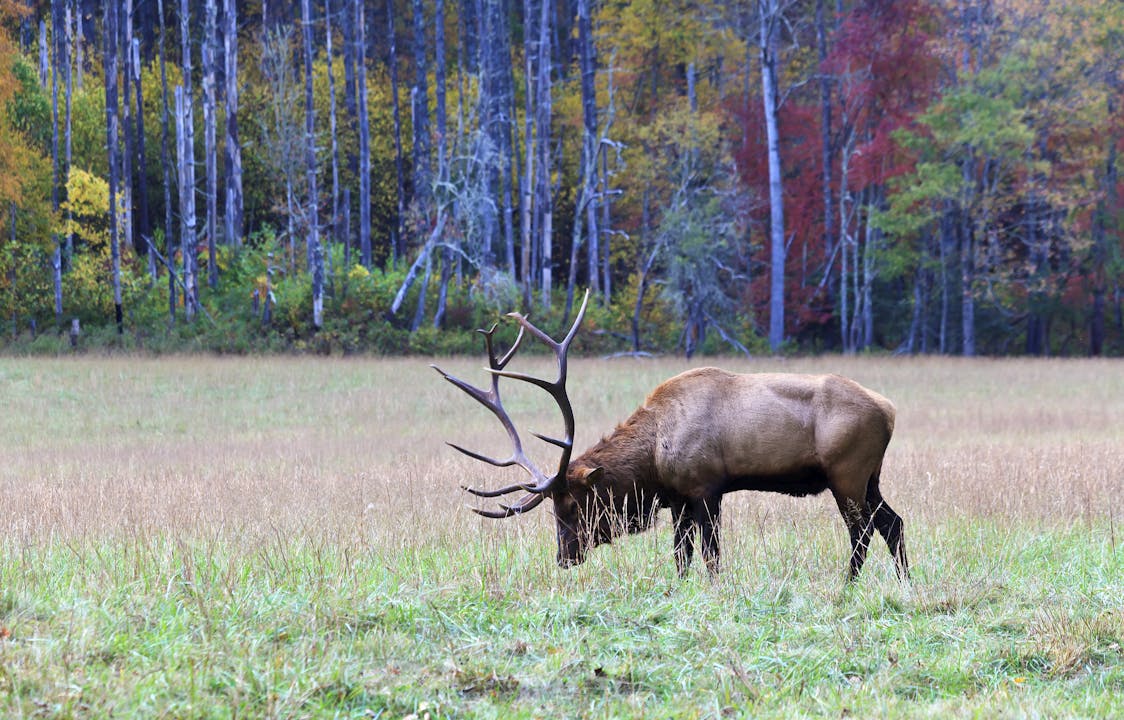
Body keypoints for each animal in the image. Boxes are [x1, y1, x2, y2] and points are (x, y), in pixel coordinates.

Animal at [432, 291, 909, 581]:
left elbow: (712, 557)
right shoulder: (678, 498)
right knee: (893, 523)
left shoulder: (707, 487)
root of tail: (889, 410)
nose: (564, 558)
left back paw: (847, 586)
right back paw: (904, 582)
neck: (653, 458)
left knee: (862, 531)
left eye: (574, 503)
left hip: (846, 473)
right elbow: (680, 558)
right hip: (869, 478)